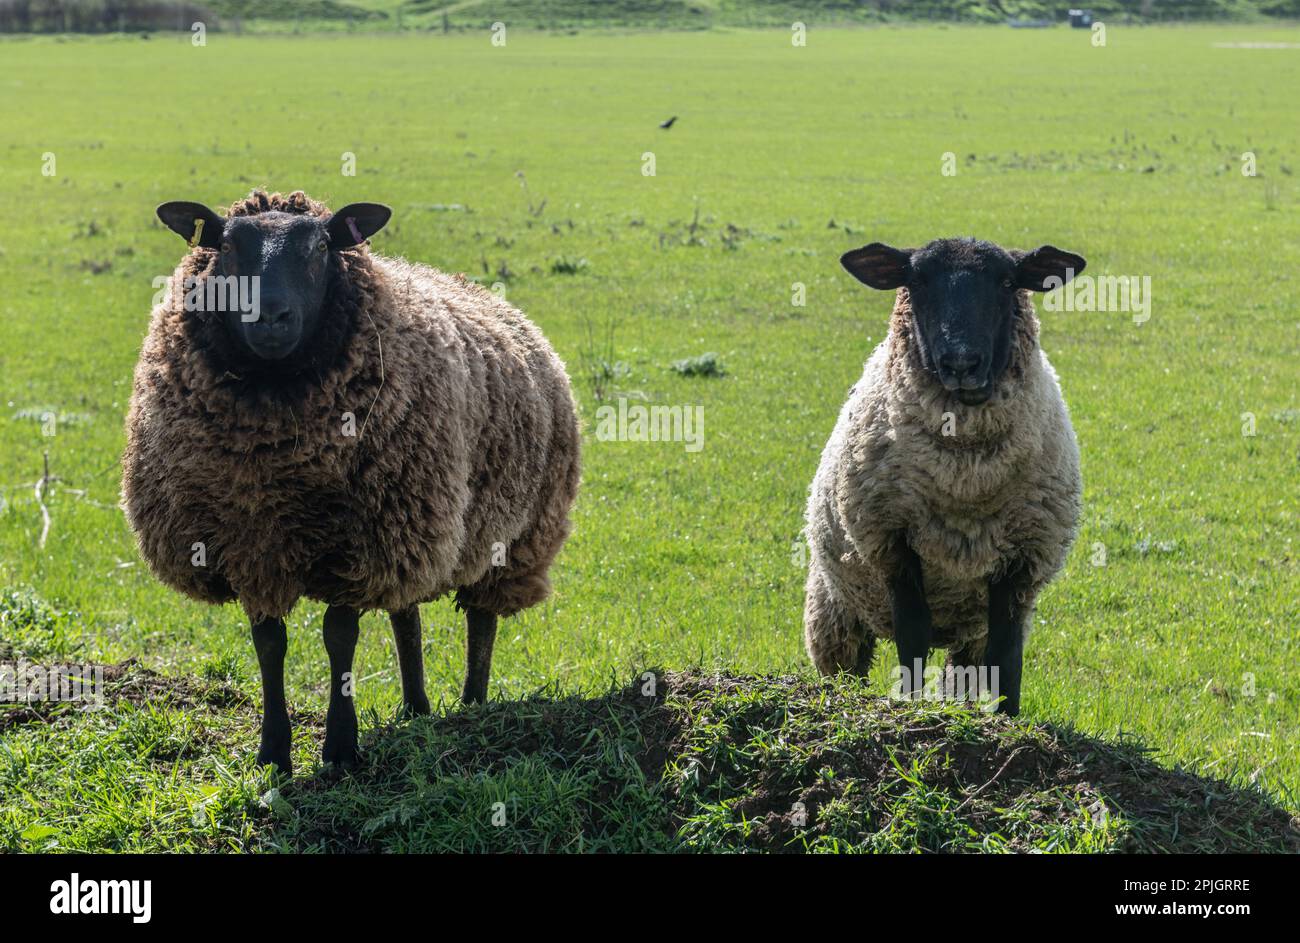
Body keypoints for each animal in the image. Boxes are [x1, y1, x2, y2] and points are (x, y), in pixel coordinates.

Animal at [123, 189, 581, 772]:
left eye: (321, 246)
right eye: (226, 245)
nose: (270, 316)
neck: (276, 464)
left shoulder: (359, 545)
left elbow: (338, 637)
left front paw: (341, 748)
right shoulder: (248, 547)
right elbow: (268, 643)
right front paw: (273, 752)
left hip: (505, 536)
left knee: (481, 618)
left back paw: (472, 707)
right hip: (415, 520)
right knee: (407, 616)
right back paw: (415, 708)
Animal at [803, 238, 1084, 715]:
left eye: (1007, 282)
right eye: (917, 281)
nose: (961, 362)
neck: (965, 483)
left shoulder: (1023, 557)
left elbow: (1007, 656)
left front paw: (1008, 718)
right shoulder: (893, 543)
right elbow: (912, 639)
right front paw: (912, 706)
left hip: (969, 627)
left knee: (967, 671)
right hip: (836, 606)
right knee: (847, 667)